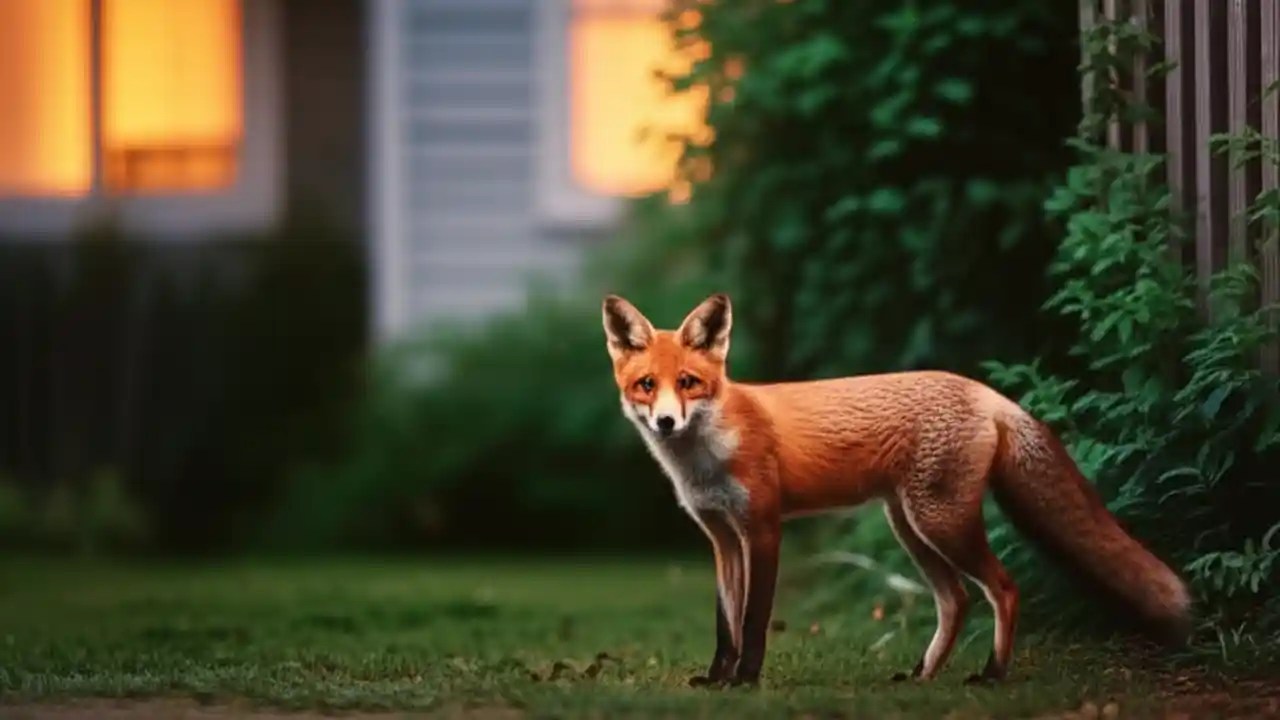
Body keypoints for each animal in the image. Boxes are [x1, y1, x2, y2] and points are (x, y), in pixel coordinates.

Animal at [602, 292, 1191, 688]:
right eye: (647, 386)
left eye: (689, 383)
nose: (666, 423)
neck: (705, 456)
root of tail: (988, 392)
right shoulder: (723, 540)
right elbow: (725, 623)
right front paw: (718, 679)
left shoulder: (763, 530)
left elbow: (753, 620)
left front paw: (745, 680)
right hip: (909, 526)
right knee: (956, 600)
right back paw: (923, 674)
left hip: (940, 523)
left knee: (1003, 588)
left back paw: (993, 674)